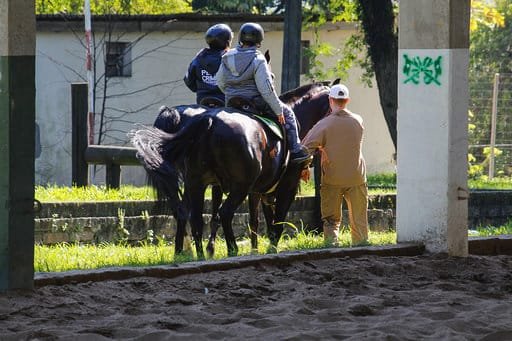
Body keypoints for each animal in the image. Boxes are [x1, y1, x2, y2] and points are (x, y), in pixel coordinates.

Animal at [132, 81, 332, 258]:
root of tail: (209, 119)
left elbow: (260, 220)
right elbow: (276, 219)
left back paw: (189, 253)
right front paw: (268, 248)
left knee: (189, 215)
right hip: (239, 186)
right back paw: (230, 249)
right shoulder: (286, 186)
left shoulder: (261, 190)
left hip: (195, 183)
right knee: (224, 213)